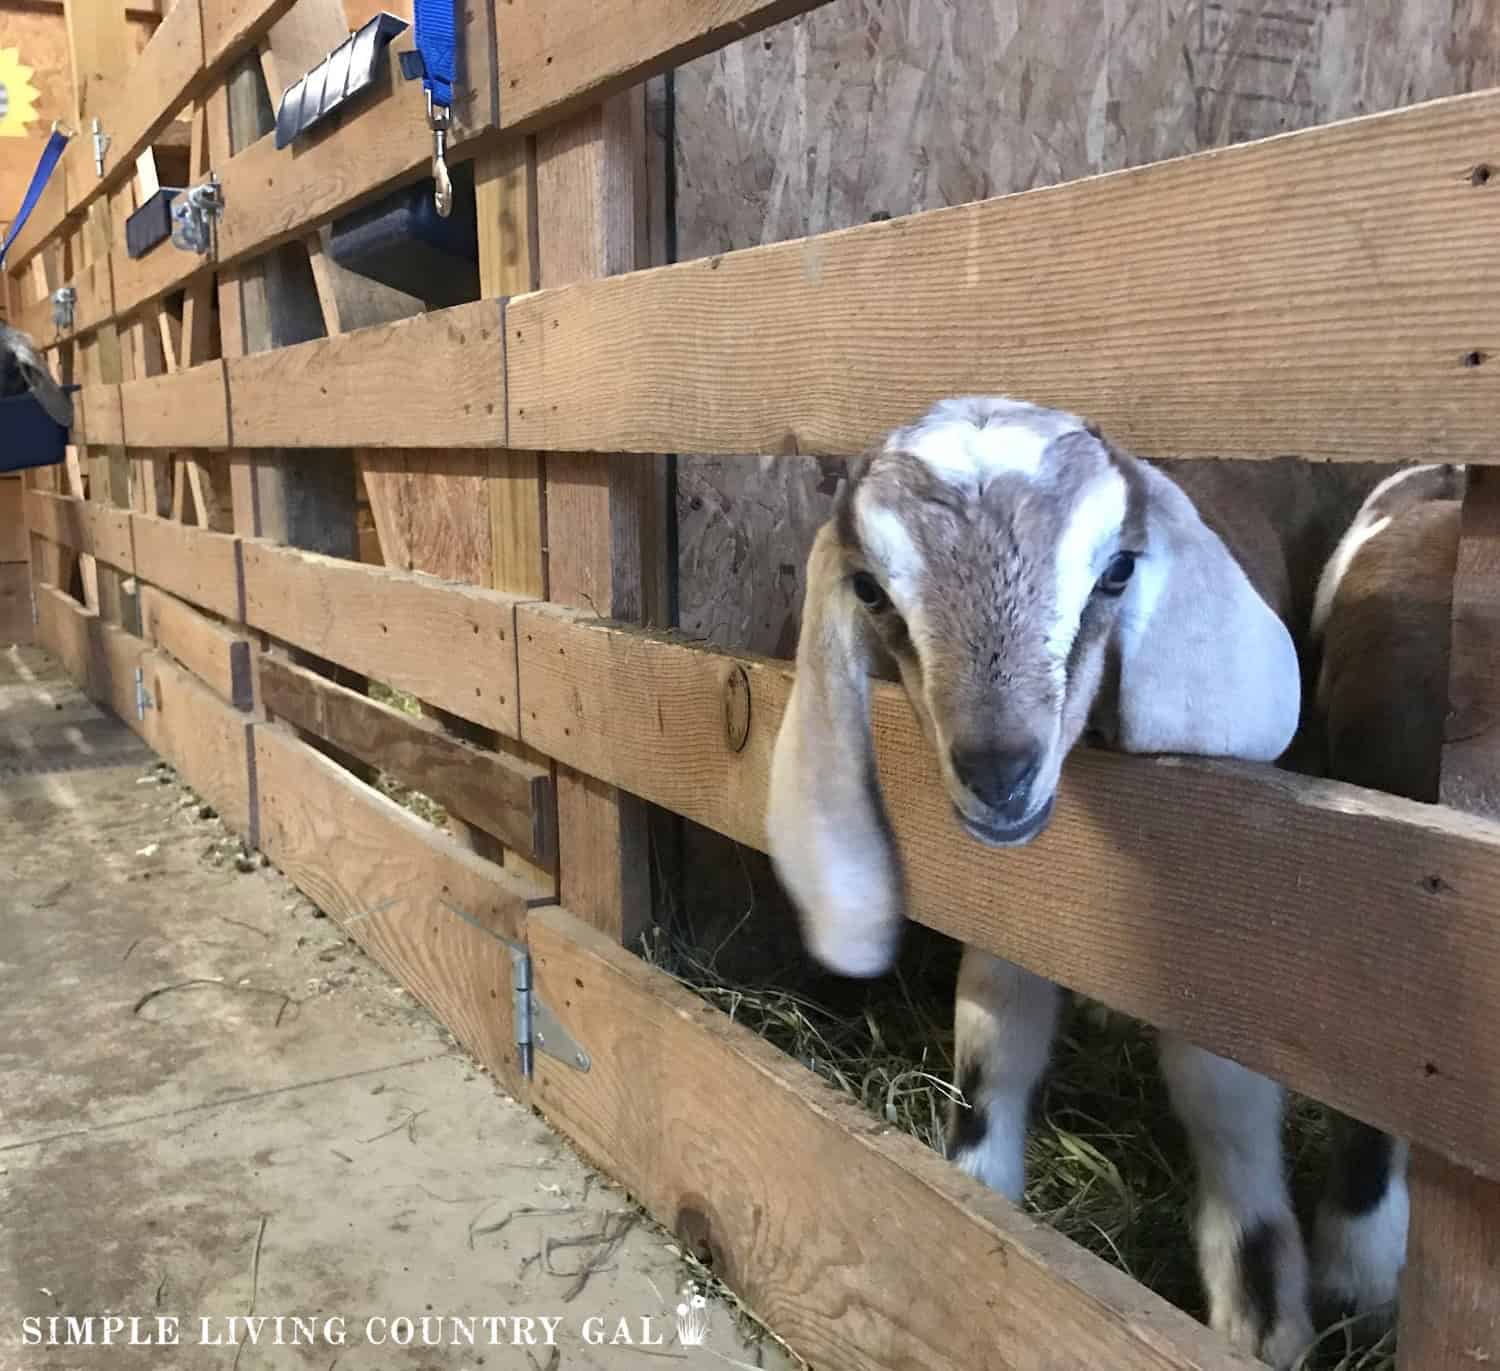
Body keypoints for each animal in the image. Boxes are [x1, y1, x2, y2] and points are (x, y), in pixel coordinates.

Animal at [766, 396, 1462, 1368]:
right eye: (871, 590)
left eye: (1118, 573)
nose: (1000, 772)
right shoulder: (1013, 905)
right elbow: (992, 1034)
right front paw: (973, 1191)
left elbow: (1222, 1090)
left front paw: (1260, 1313)